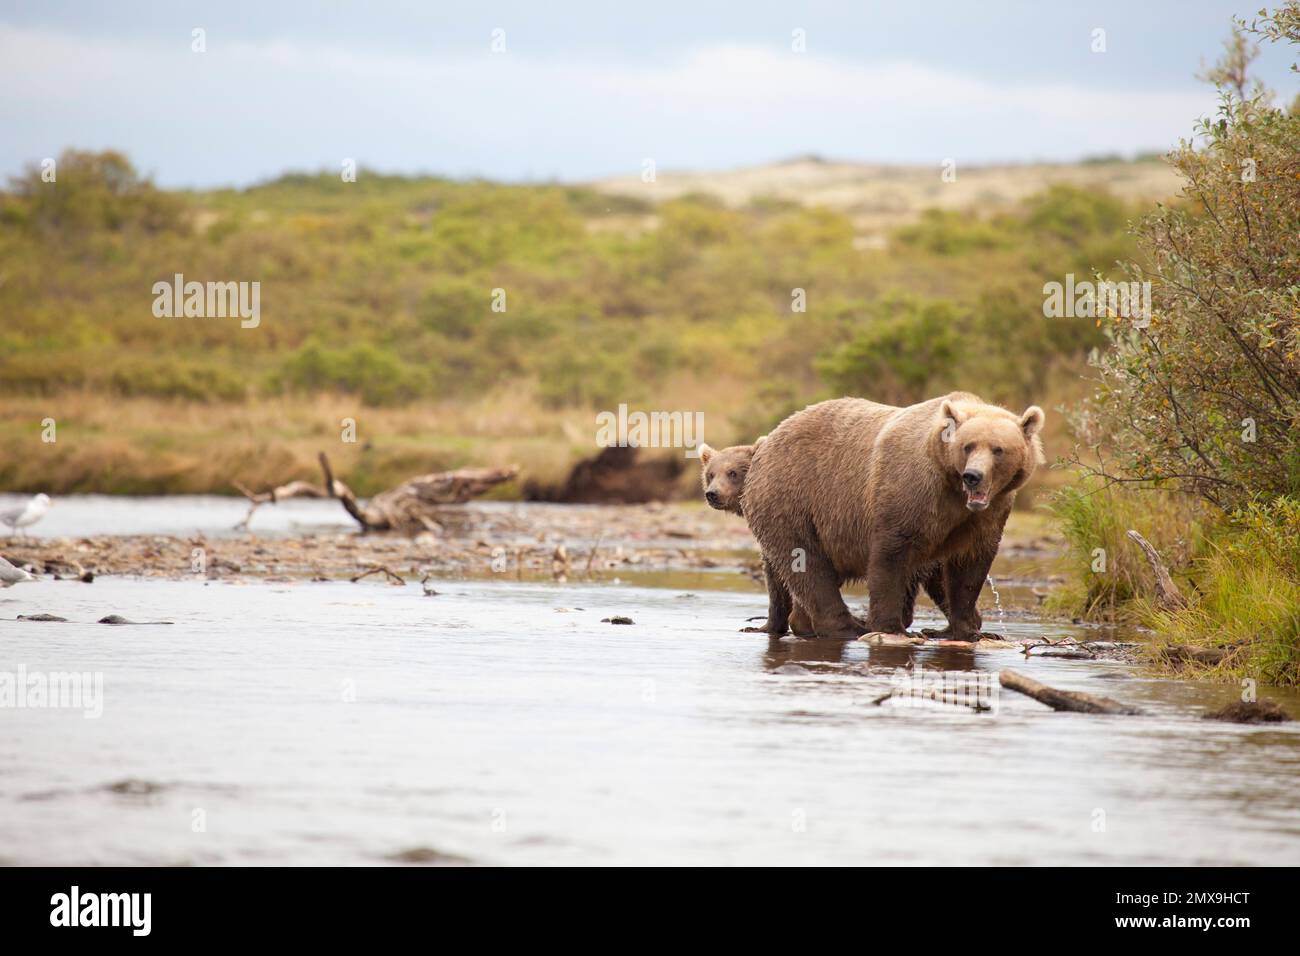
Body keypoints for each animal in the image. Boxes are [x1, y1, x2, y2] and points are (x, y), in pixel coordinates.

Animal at [741, 392, 1045, 642]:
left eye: (998, 449)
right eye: (968, 446)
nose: (973, 476)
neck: (951, 487)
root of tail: (769, 438)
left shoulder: (989, 512)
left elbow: (970, 565)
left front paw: (969, 630)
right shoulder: (907, 493)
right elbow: (890, 555)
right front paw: (890, 627)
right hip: (793, 497)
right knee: (805, 561)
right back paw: (848, 626)